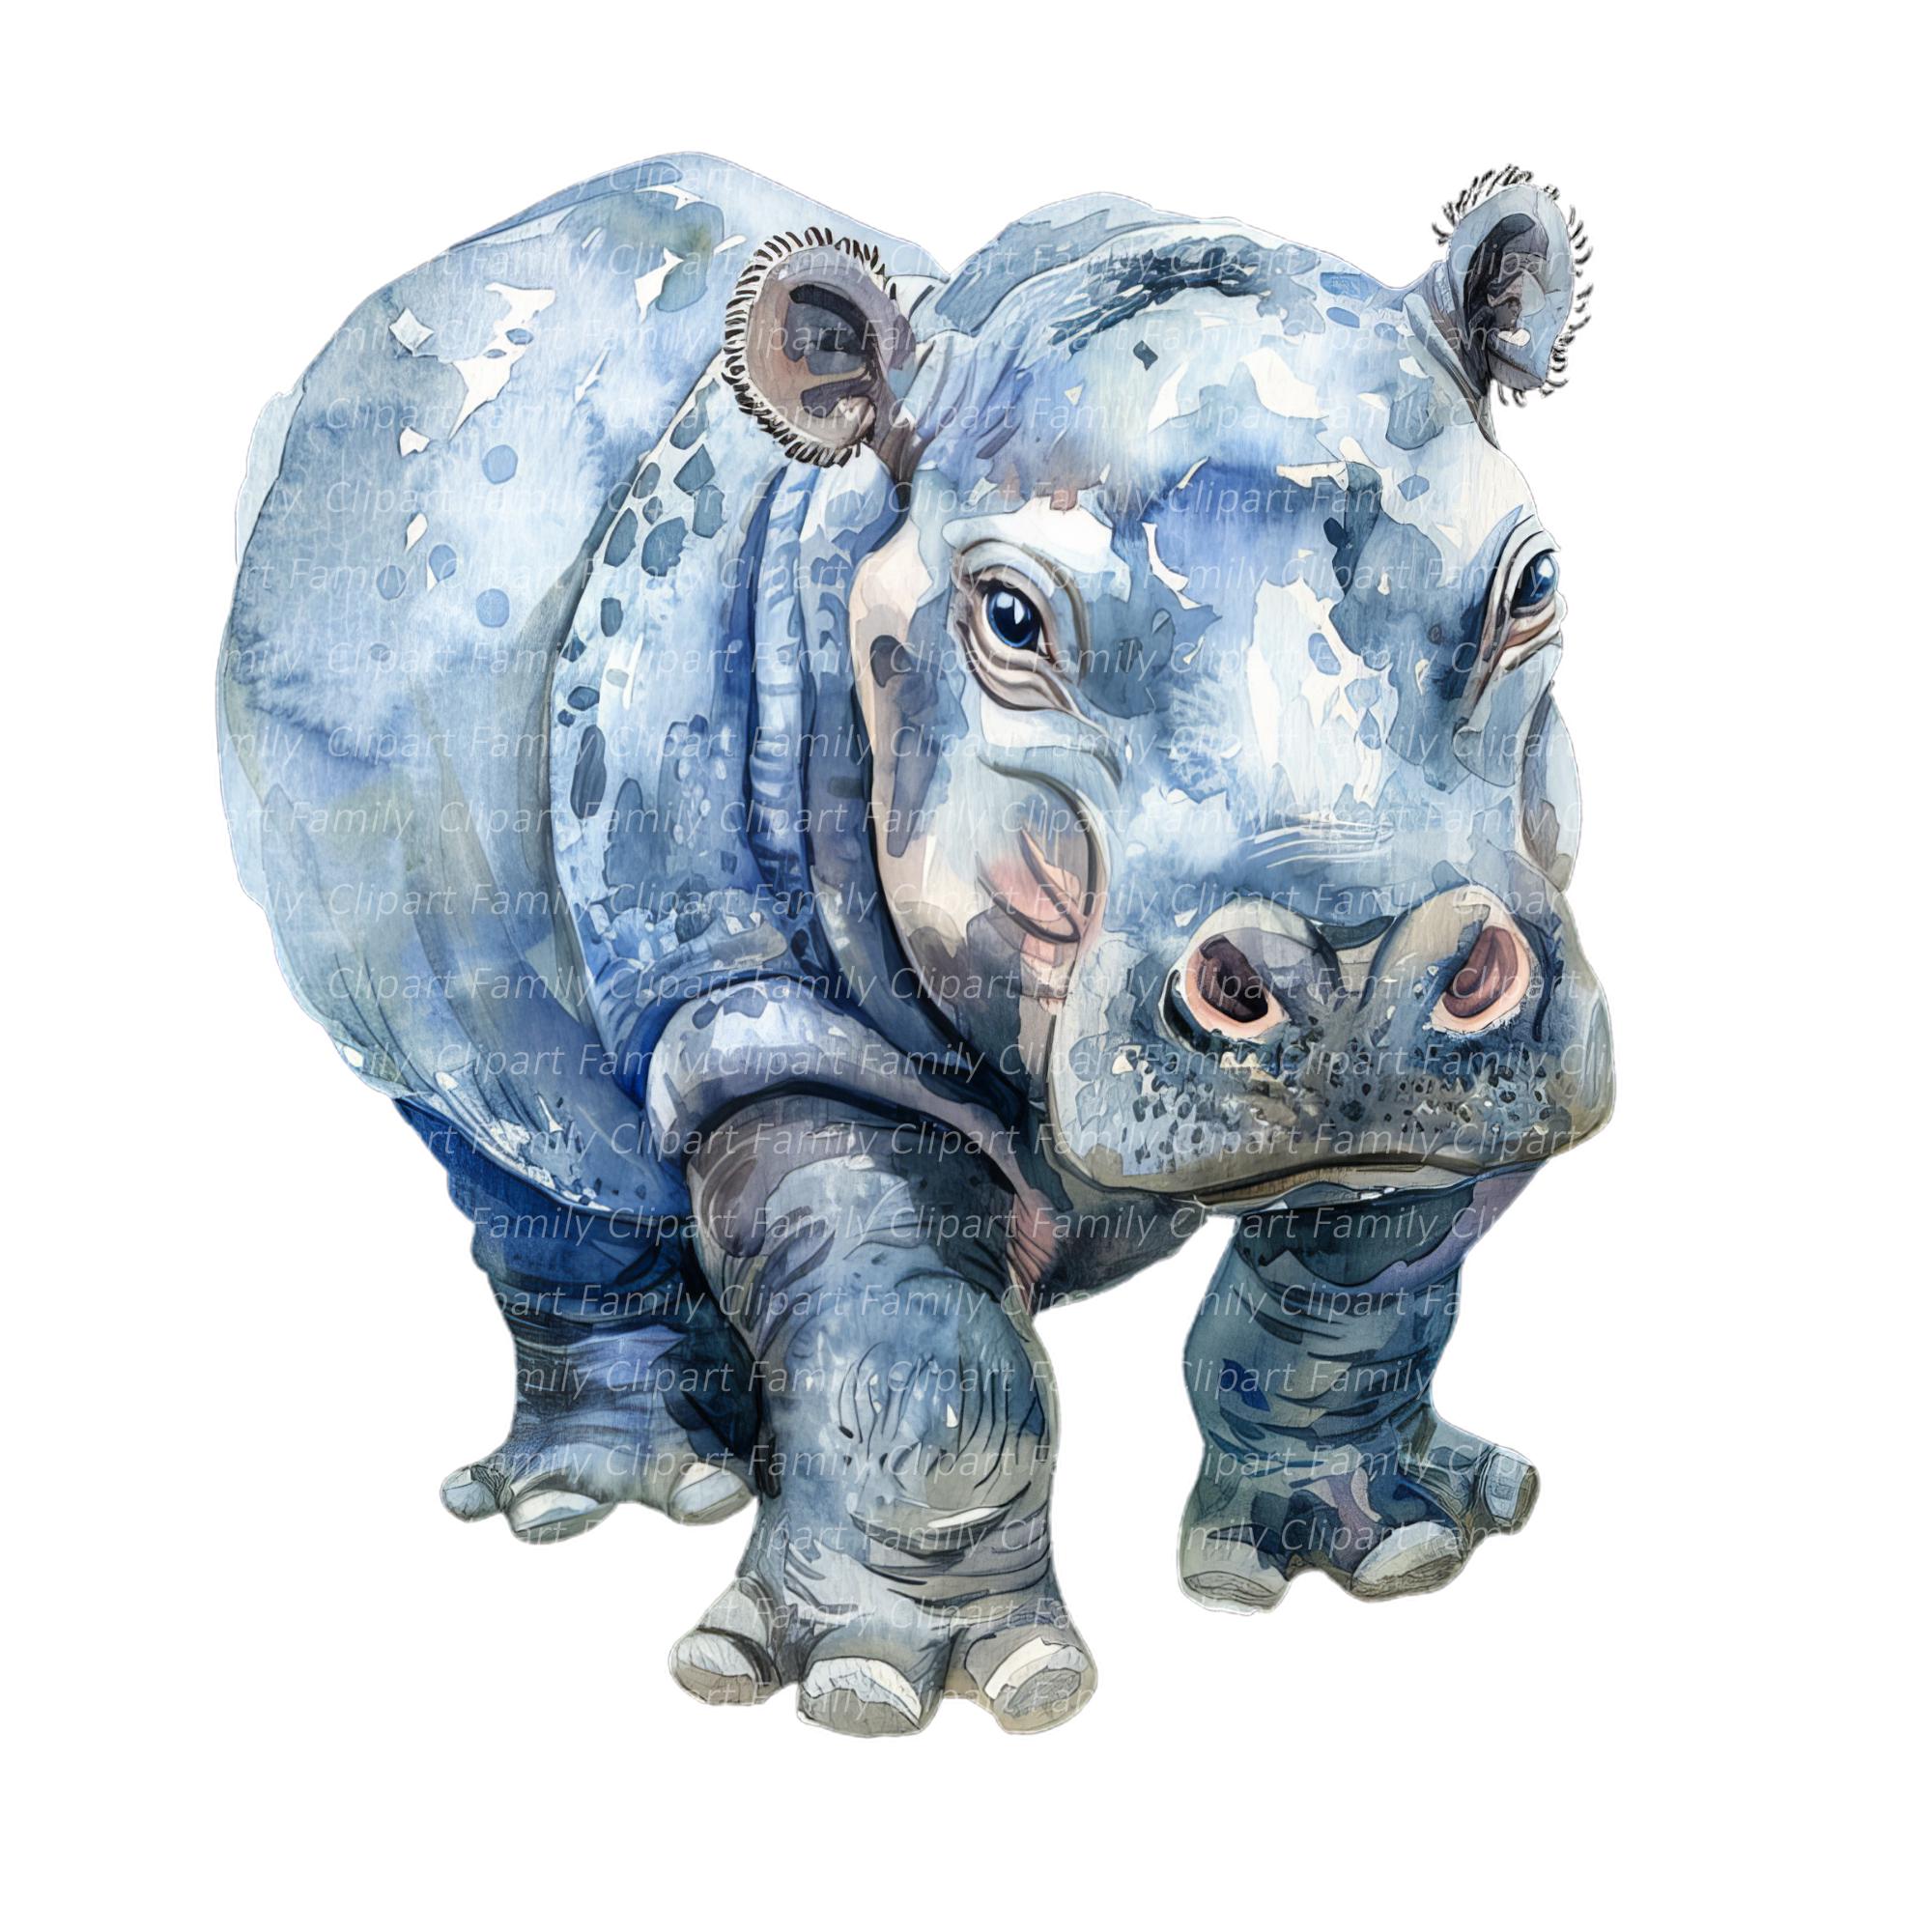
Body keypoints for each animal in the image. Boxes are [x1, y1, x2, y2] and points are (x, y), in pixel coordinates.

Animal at [219, 155, 1612, 1736]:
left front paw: (1388, 1548)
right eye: (1006, 617)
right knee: (523, 1163)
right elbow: (924, 1359)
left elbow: (1363, 1275)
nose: (1363, 971)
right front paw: (881, 1688)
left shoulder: (1480, 991)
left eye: (1534, 584)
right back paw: (614, 1499)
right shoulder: (762, 1018)